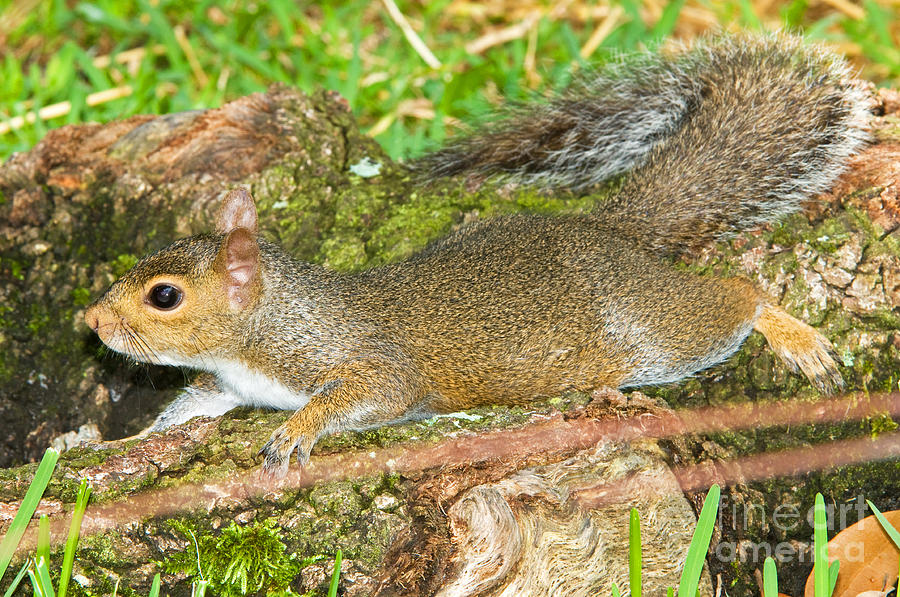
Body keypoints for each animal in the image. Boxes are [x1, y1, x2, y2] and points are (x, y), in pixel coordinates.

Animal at [84, 33, 871, 476]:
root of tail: (612, 232)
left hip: (656, 333)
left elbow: (372, 390)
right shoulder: (226, 385)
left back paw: (794, 336)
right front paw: (109, 443)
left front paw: (296, 431)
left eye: (164, 295)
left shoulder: (359, 358)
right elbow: (185, 408)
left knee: (738, 294)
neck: (262, 329)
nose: (91, 323)